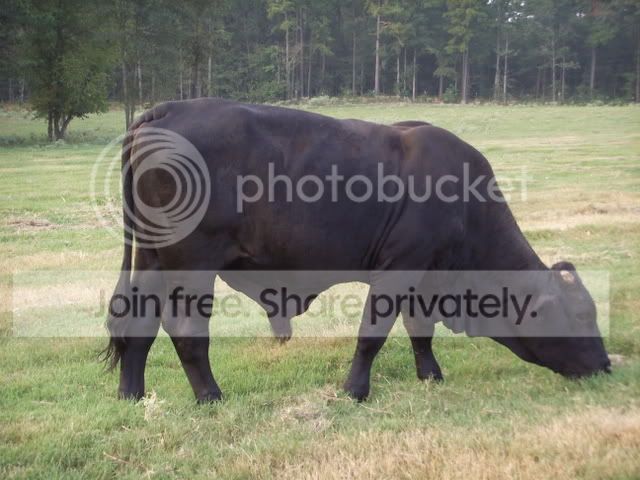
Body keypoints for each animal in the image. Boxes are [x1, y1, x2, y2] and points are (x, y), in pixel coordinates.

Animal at [103, 98, 611, 403]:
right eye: (580, 315)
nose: (606, 365)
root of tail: (167, 110)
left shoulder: (423, 276)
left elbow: (420, 330)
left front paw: (430, 374)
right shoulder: (399, 269)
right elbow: (372, 334)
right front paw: (355, 390)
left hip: (151, 260)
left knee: (139, 326)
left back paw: (132, 394)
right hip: (192, 265)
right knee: (186, 332)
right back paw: (210, 395)